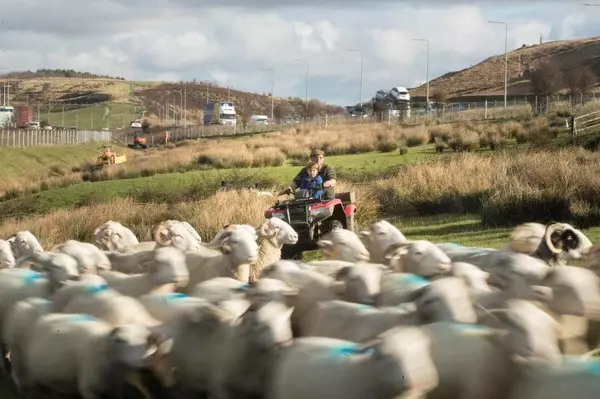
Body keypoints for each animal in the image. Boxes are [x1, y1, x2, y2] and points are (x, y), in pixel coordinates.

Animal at [23, 314, 173, 399]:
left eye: (149, 340)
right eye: (119, 340)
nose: (144, 359)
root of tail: (47, 316)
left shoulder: (116, 387)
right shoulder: (88, 388)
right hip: (34, 377)